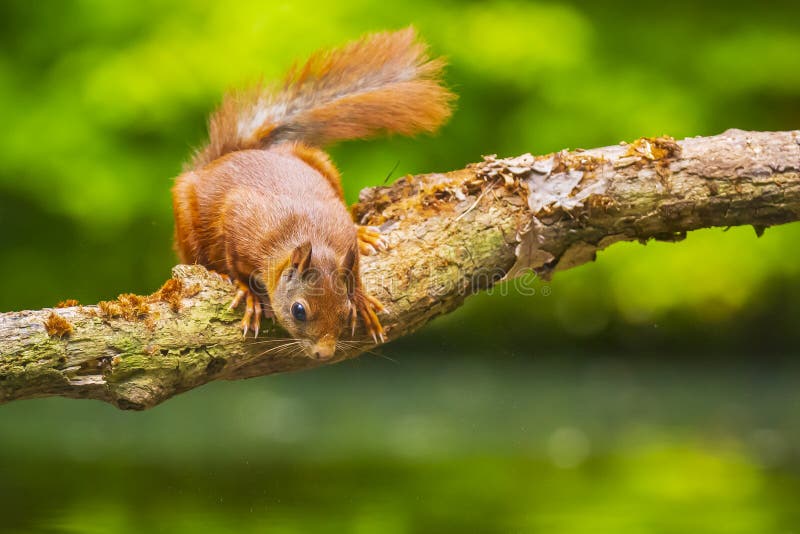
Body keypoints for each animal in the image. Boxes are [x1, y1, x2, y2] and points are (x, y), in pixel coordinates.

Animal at [171, 28, 454, 360]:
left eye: (345, 312)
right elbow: (234, 260)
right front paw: (247, 292)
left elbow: (354, 271)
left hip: (318, 161)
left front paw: (361, 298)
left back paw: (364, 236)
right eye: (299, 310)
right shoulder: (239, 217)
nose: (325, 353)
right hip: (185, 215)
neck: (310, 237)